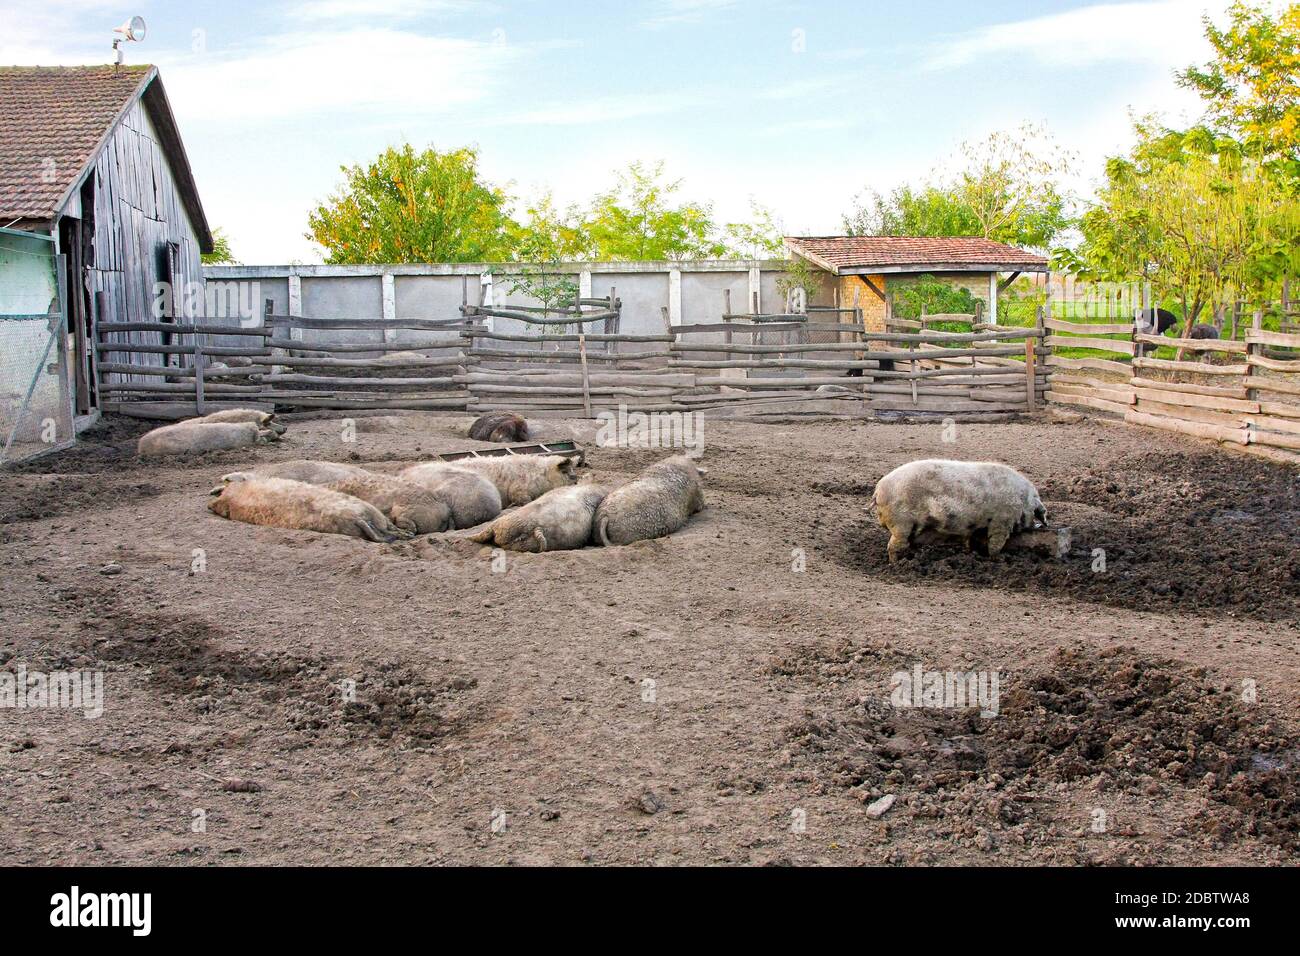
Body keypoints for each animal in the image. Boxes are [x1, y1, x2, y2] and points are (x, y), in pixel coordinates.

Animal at [873, 459, 1047, 562]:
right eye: (1036, 513)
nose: (1038, 526)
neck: (1024, 501)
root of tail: (878, 489)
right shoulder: (1001, 522)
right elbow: (995, 544)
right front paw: (998, 559)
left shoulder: (979, 526)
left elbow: (974, 542)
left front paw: (972, 555)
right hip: (901, 523)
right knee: (894, 546)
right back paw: (897, 564)